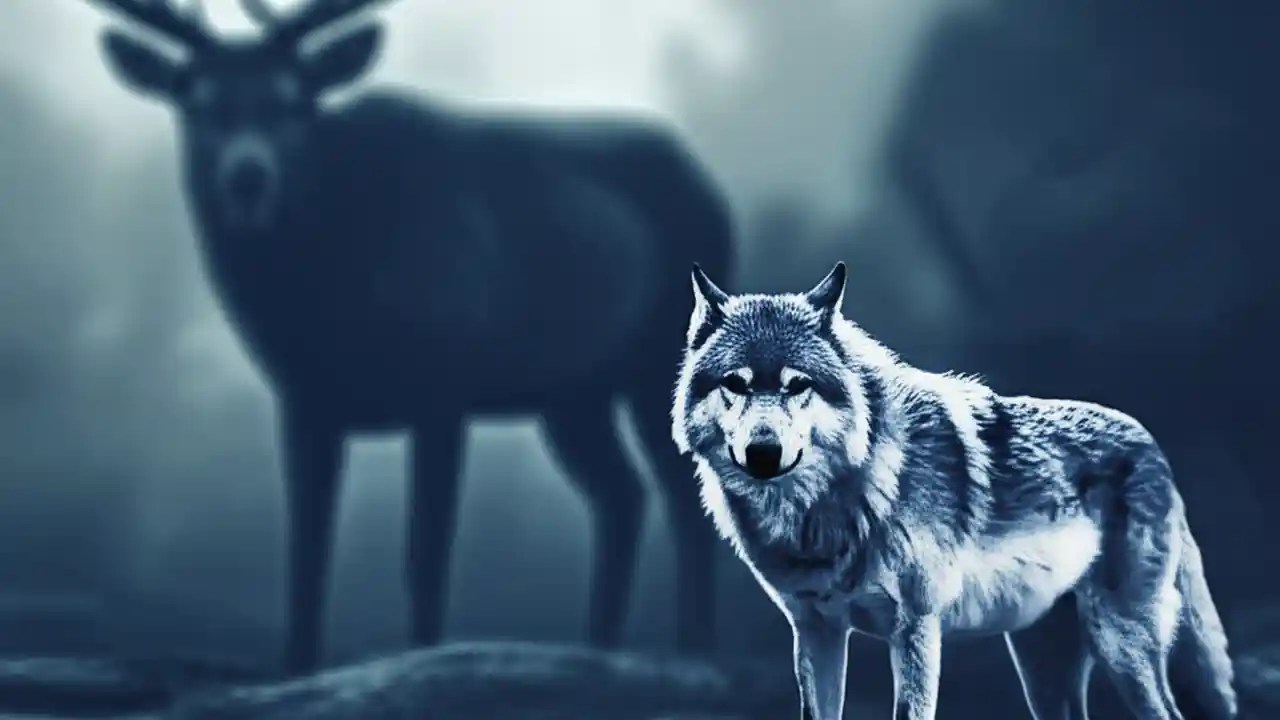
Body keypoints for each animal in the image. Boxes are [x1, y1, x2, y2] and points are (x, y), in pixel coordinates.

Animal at [79, 0, 734, 674]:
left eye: (294, 102)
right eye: (197, 101)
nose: (248, 177)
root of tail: (708, 184)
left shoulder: (443, 384)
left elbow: (424, 554)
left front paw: (423, 652)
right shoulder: (304, 400)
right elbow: (307, 551)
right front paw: (299, 665)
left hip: (658, 365)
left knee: (685, 494)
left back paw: (696, 650)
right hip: (571, 395)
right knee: (622, 495)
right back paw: (598, 648)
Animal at [670, 262, 1238, 720]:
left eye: (797, 385)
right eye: (735, 383)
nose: (762, 453)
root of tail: (1151, 444)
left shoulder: (916, 627)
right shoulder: (816, 631)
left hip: (1120, 643)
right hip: (1043, 667)